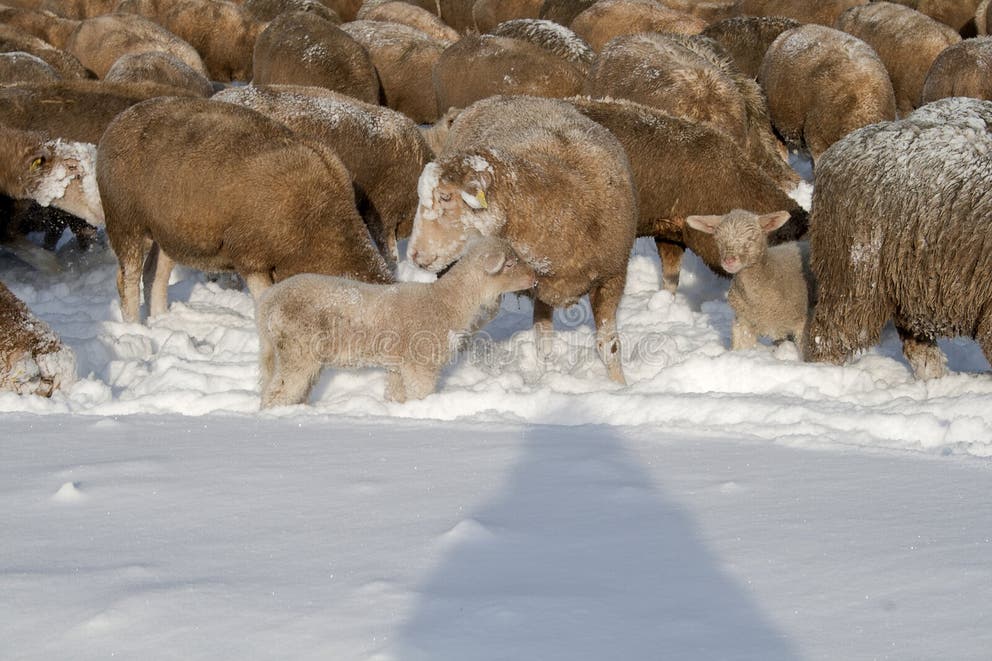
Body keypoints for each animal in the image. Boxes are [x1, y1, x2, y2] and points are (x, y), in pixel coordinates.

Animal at [96, 96, 392, 323]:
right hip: (125, 220)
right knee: (128, 280)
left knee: (155, 276)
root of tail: (119, 119)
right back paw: (134, 326)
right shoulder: (251, 258)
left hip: (169, 231)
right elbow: (265, 303)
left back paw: (161, 320)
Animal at [257, 236, 538, 407]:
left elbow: (396, 394)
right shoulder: (421, 362)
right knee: (278, 392)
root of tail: (267, 302)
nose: (535, 278)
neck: (447, 301)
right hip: (297, 348)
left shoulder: (398, 365)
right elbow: (421, 392)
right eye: (510, 263)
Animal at [407, 95, 638, 384]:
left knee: (543, 334)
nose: (414, 255)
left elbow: (609, 347)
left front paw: (620, 385)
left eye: (446, 197)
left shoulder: (612, 278)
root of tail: (496, 97)